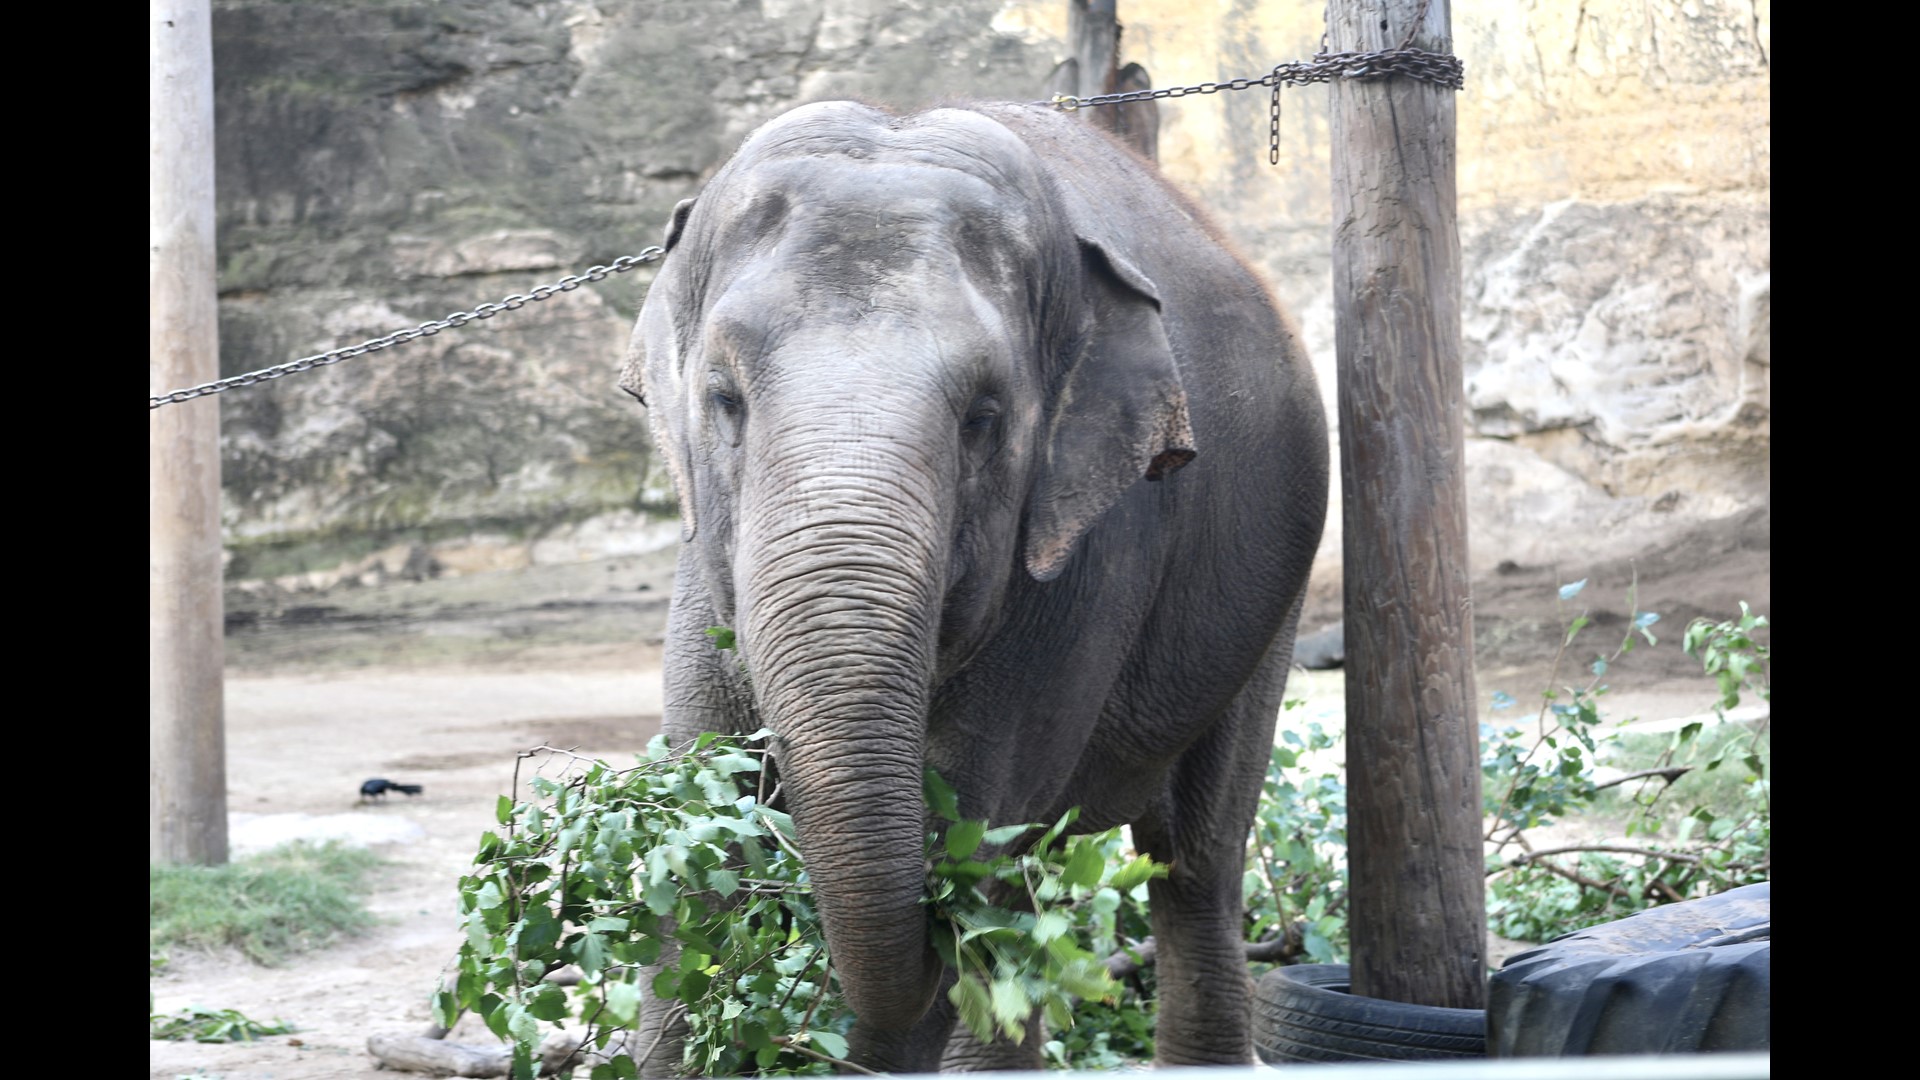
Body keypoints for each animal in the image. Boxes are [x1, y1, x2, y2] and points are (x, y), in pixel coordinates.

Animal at [618, 99, 1328, 1073]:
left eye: (983, 419)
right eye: (724, 398)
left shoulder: (1082, 570)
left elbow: (973, 827)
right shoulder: (702, 582)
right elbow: (696, 841)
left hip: (1271, 591)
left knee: (1190, 858)